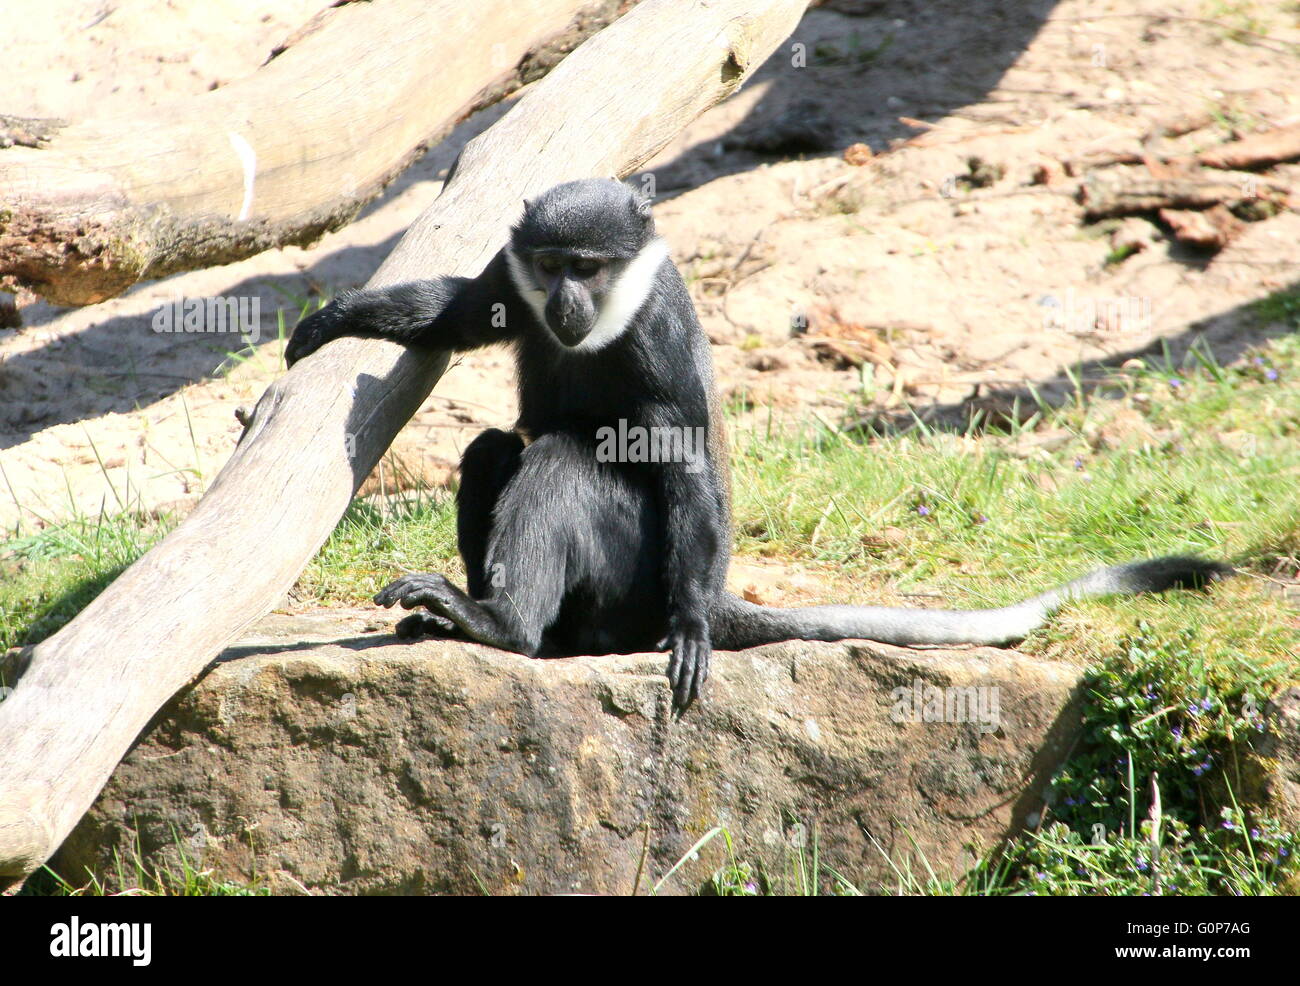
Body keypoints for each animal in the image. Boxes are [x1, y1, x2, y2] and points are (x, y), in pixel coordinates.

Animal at [286, 178, 1231, 709]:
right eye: (552, 265)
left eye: (589, 266)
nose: (566, 301)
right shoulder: (511, 280)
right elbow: (459, 311)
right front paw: (334, 319)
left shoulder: (656, 332)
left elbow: (681, 463)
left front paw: (692, 634)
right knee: (491, 450)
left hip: (637, 579)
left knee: (566, 465)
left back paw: (506, 625)